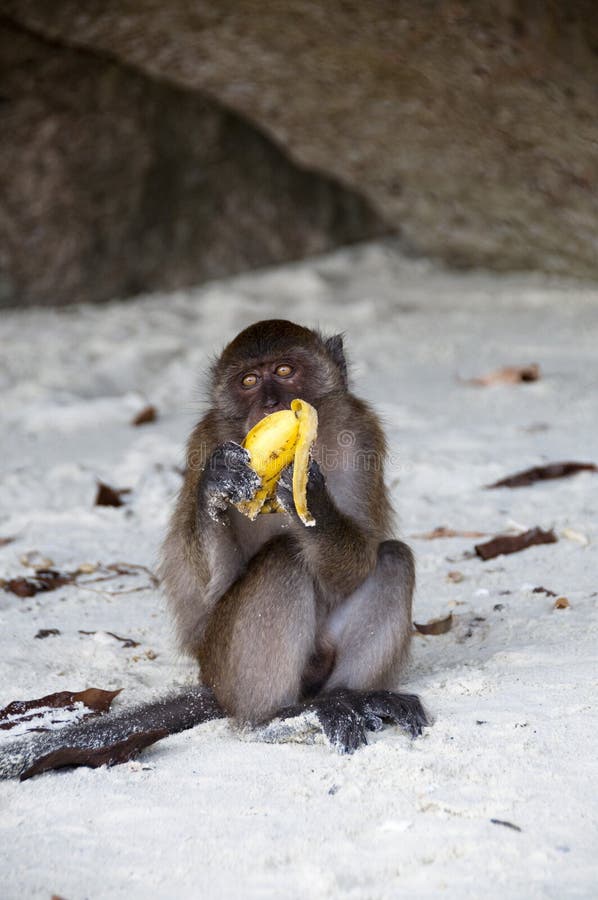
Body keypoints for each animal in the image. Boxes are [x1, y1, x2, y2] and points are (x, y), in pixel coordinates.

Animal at [0, 320, 427, 780]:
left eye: (284, 370)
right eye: (249, 381)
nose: (271, 403)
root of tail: (213, 685)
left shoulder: (361, 433)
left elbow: (360, 560)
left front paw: (309, 495)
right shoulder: (204, 442)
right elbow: (211, 582)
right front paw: (218, 485)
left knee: (393, 558)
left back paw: (351, 697)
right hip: (224, 662)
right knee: (283, 558)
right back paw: (272, 720)